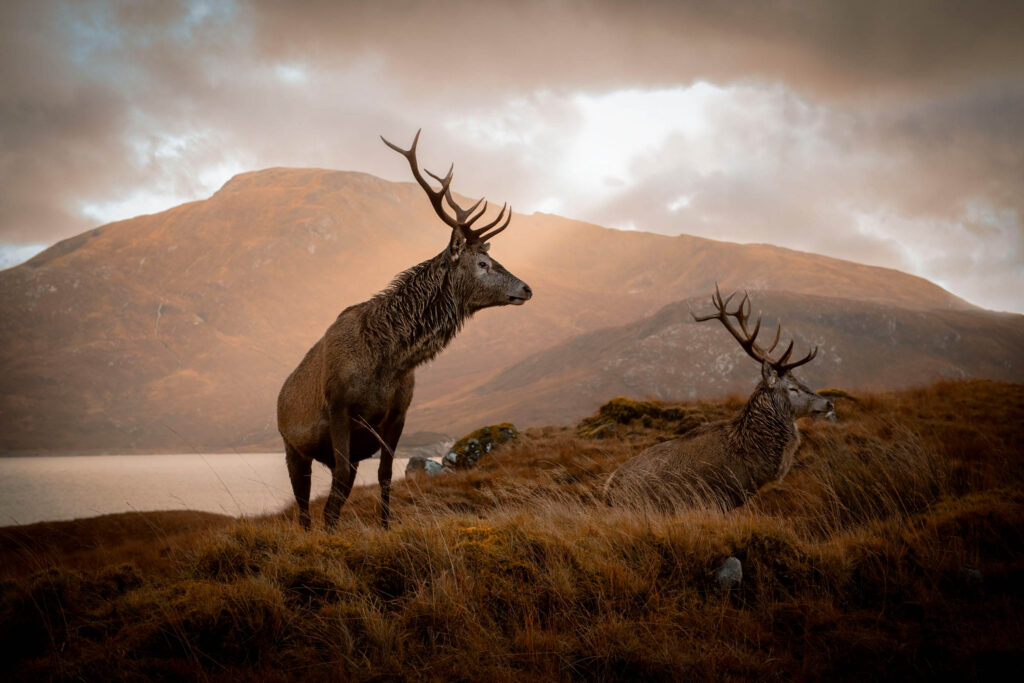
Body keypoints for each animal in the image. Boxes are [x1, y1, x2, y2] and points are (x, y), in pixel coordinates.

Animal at [277, 130, 532, 530]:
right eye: (483, 263)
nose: (526, 288)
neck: (389, 359)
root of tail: (278, 399)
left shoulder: (398, 414)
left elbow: (383, 475)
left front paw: (385, 525)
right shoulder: (339, 406)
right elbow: (342, 479)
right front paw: (330, 529)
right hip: (292, 446)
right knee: (302, 501)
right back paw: (309, 528)